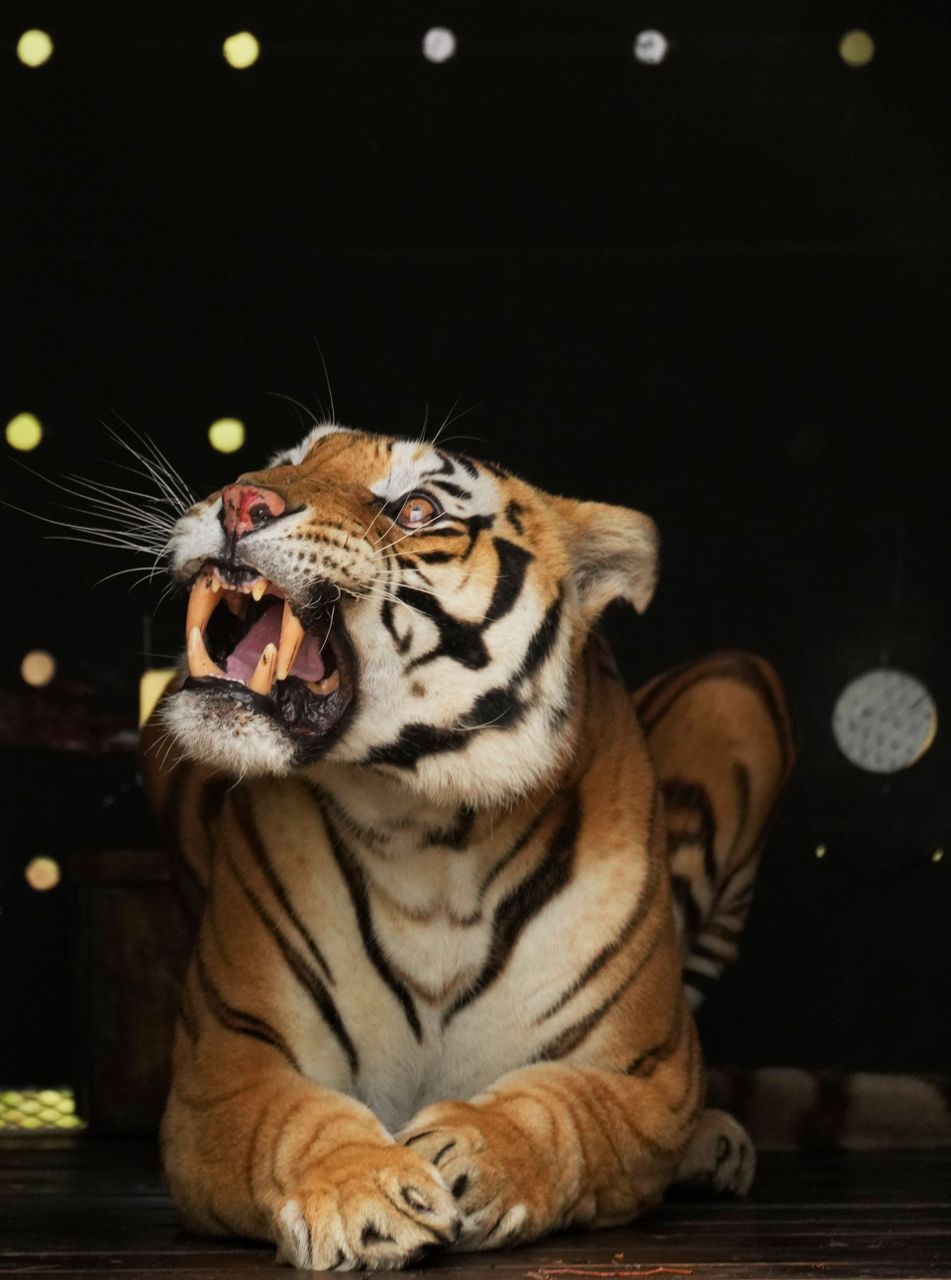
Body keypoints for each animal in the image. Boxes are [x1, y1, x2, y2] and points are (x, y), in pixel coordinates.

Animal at [141, 421, 794, 1270]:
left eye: (417, 509)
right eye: (287, 464)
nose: (242, 501)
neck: (423, 827)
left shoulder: (645, 1070)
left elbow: (568, 1109)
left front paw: (475, 1153)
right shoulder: (224, 1066)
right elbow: (293, 1121)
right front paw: (364, 1194)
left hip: (735, 686)